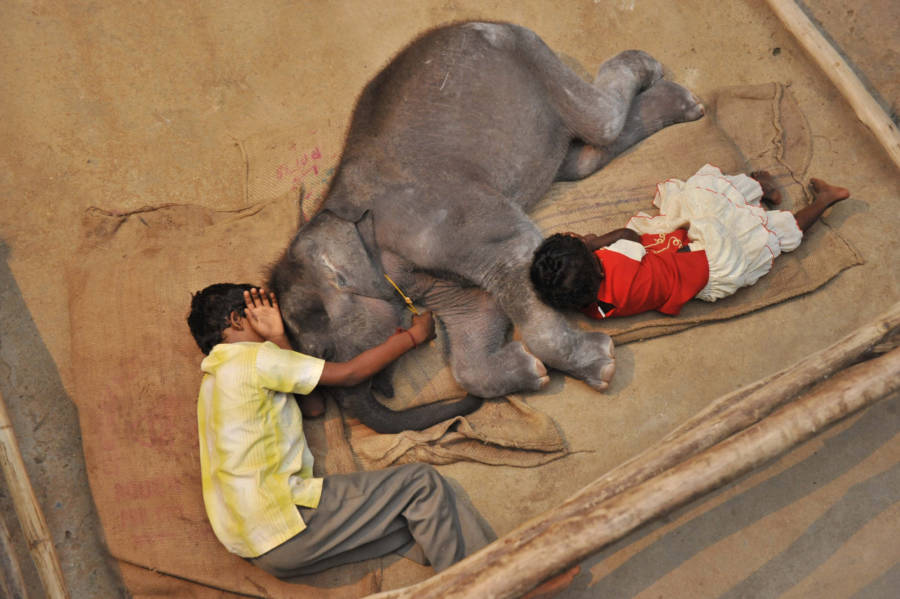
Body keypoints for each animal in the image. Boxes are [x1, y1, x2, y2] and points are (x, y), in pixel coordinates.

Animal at [268, 21, 704, 433]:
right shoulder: (431, 276)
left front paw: (602, 365)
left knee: (600, 121)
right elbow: (476, 316)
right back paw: (676, 100)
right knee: (580, 160)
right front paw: (530, 370)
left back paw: (658, 75)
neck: (332, 214)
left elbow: (517, 255)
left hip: (527, 54)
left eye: (324, 354)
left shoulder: (444, 221)